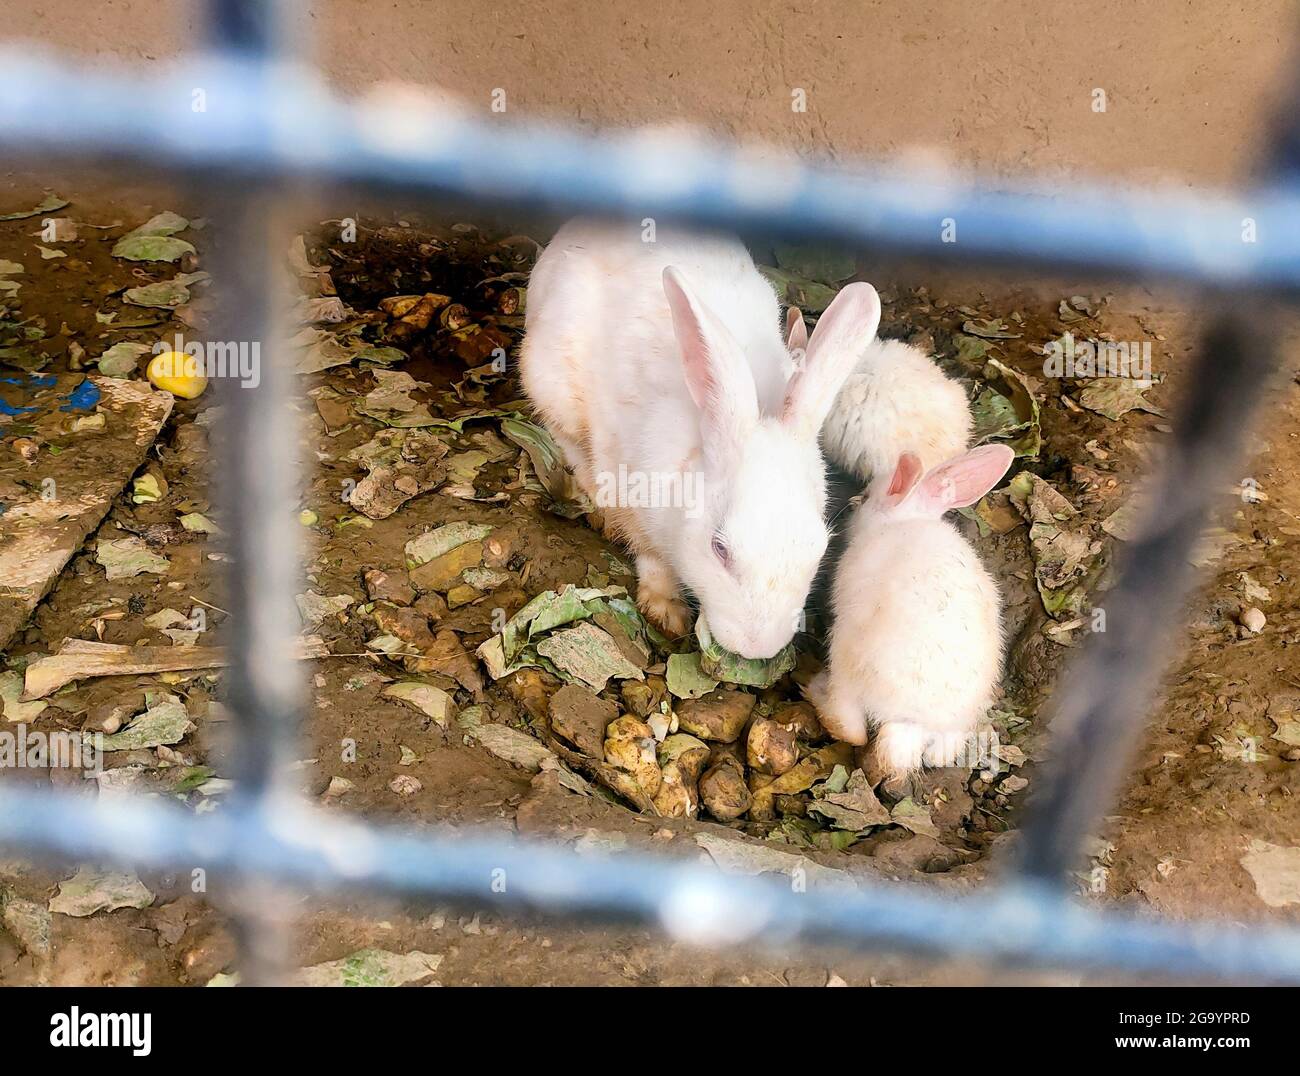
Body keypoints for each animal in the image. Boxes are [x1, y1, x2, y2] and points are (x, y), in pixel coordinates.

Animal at [520, 219, 881, 659]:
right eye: (719, 548)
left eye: (820, 549)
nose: (757, 647)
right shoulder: (625, 483)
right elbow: (650, 555)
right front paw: (665, 608)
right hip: (549, 381)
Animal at [803, 443, 1014, 776]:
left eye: (866, 497)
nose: (853, 502)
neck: (903, 519)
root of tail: (912, 722)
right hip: (955, 728)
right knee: (939, 755)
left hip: (845, 666)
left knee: (852, 730)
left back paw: (813, 689)